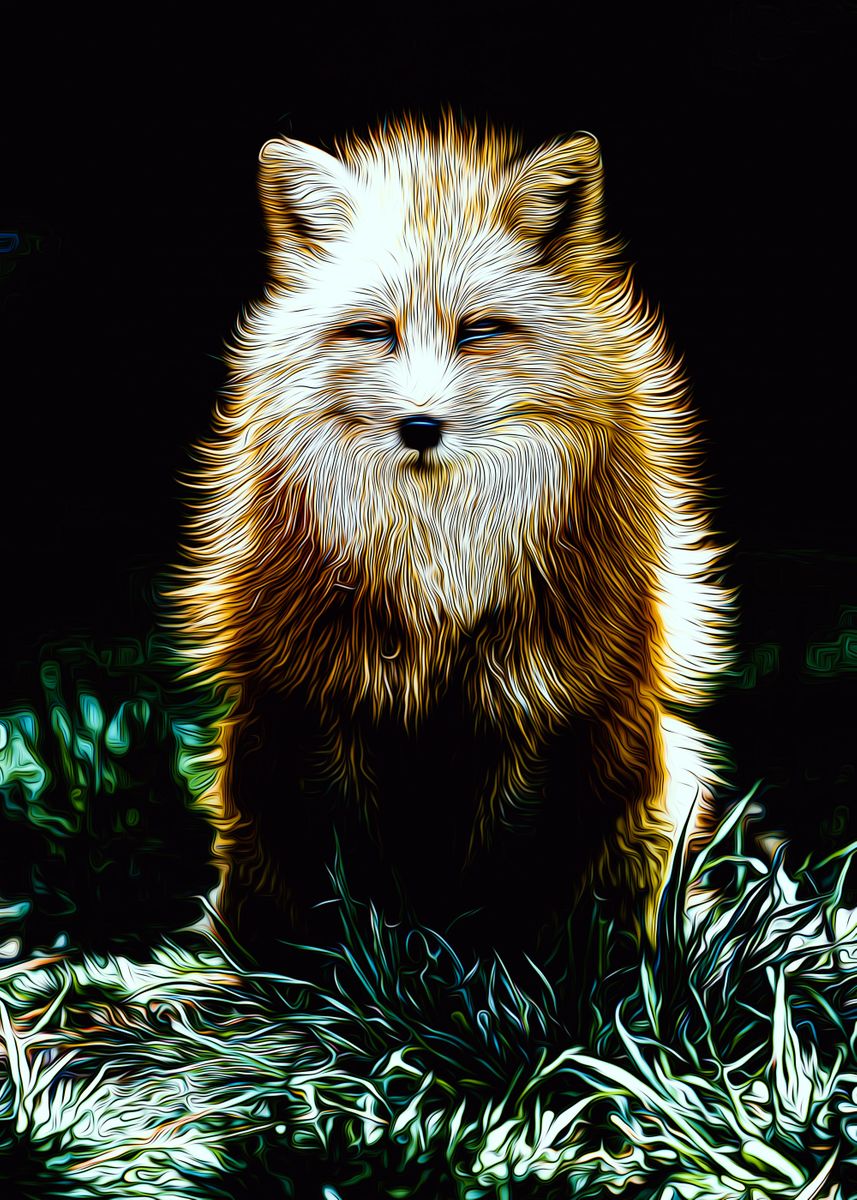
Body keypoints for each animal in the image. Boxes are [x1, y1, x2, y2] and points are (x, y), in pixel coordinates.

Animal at [169, 114, 733, 949]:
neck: (438, 556)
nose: (419, 427)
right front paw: (349, 962)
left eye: (480, 331)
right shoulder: (327, 694)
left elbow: (506, 861)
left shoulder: (536, 698)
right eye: (373, 331)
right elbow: (348, 859)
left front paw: (498, 966)